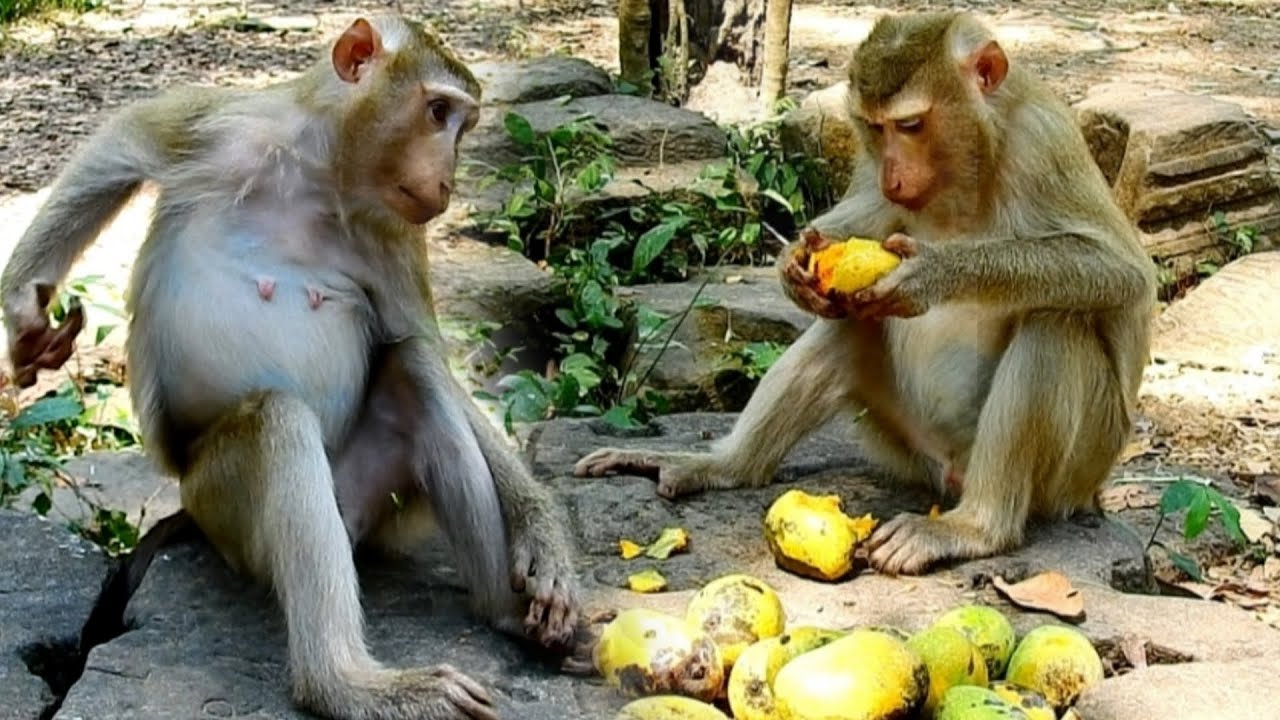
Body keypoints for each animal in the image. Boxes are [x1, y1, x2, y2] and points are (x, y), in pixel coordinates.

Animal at [2, 15, 582, 720]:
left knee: (414, 371)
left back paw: (503, 616)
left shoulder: (396, 236)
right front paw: (24, 316)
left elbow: (423, 346)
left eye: (464, 126)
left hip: (372, 501)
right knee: (279, 422)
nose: (447, 181)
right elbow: (117, 150)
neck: (321, 175)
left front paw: (542, 536)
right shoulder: (224, 123)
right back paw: (344, 683)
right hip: (223, 507)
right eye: (438, 112)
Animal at [575, 11, 1156, 577]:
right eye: (875, 129)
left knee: (1057, 321)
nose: (894, 175)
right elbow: (868, 218)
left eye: (911, 125)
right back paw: (724, 465)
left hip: (1075, 472)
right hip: (903, 442)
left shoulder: (1042, 140)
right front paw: (793, 266)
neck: (965, 171)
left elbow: (1122, 272)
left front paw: (932, 273)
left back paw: (975, 527)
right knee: (849, 322)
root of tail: (952, 474)